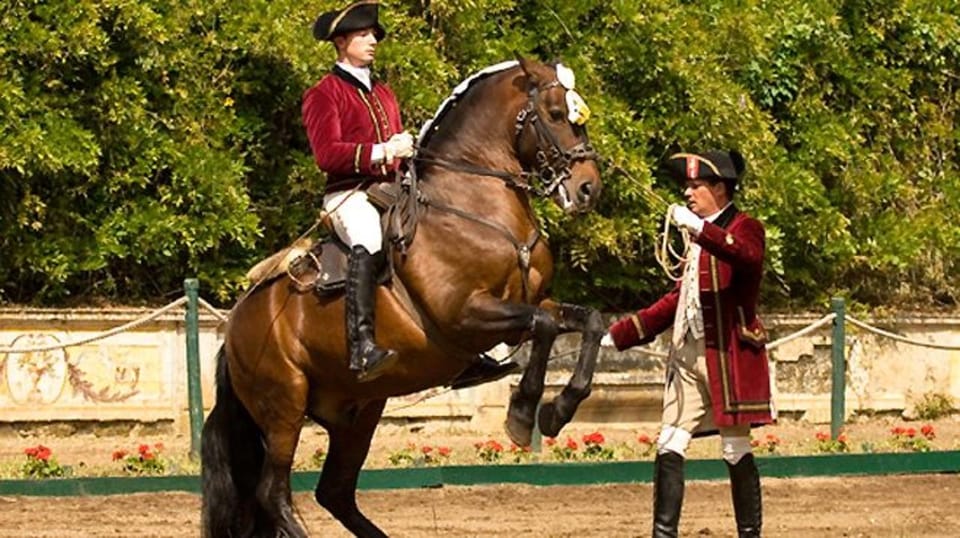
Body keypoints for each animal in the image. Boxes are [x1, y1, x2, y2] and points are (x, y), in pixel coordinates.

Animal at [201, 56, 604, 538]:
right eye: (556, 114)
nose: (588, 188)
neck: (476, 203)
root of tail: (235, 325)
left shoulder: (530, 305)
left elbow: (590, 321)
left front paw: (559, 409)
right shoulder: (466, 315)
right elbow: (543, 328)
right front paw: (523, 414)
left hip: (357, 413)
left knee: (334, 492)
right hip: (284, 407)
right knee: (272, 493)